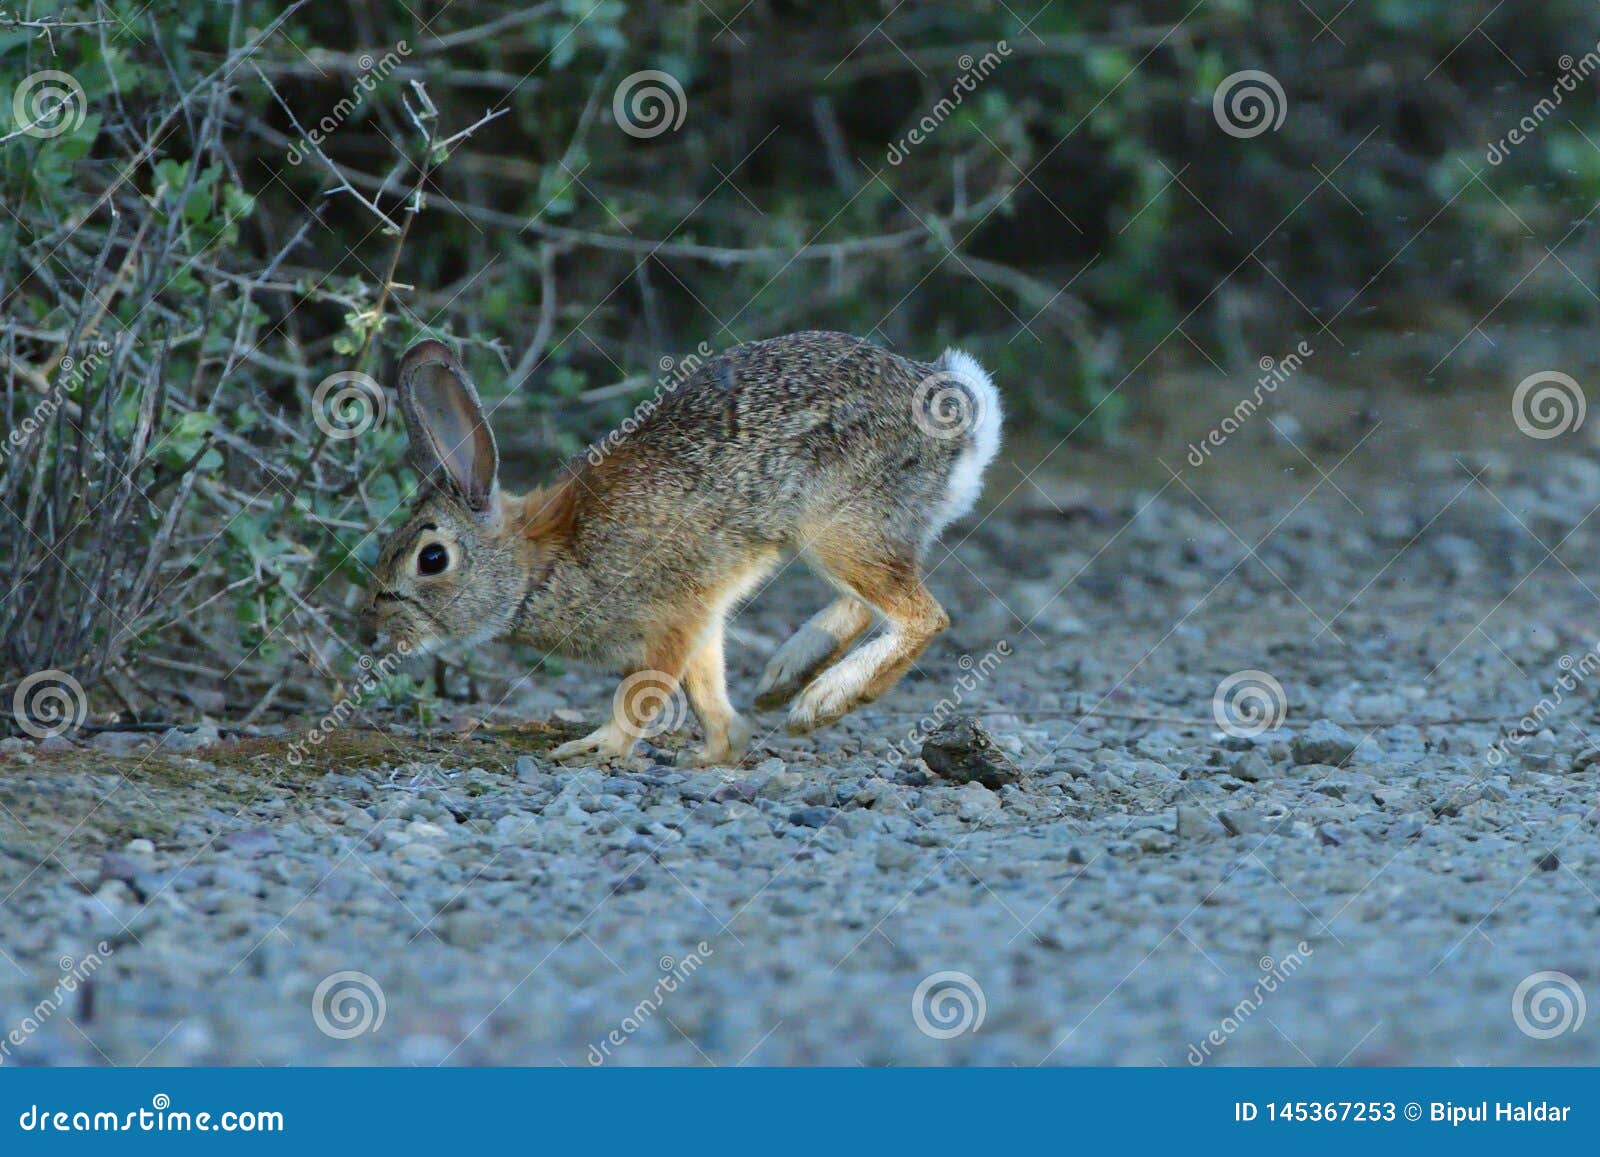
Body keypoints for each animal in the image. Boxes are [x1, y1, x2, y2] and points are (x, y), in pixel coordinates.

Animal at [362, 330, 1002, 766]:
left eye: (432, 559)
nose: (379, 628)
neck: (538, 566)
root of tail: (962, 410)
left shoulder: (669, 614)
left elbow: (642, 693)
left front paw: (597, 747)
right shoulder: (700, 618)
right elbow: (705, 689)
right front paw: (718, 752)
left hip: (838, 526)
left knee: (920, 615)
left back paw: (822, 700)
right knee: (870, 603)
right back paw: (785, 676)